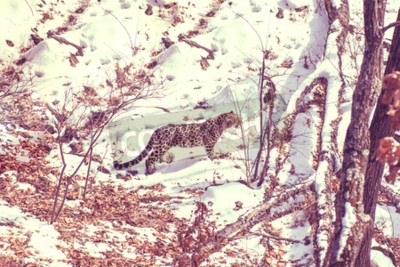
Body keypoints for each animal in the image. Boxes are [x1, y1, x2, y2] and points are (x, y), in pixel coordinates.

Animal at [114, 111, 242, 176]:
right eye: (236, 119)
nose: (240, 122)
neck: (221, 125)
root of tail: (157, 130)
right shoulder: (209, 144)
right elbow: (211, 153)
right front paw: (215, 159)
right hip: (162, 147)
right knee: (149, 159)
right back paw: (150, 171)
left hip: (162, 147)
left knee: (155, 157)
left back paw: (160, 165)